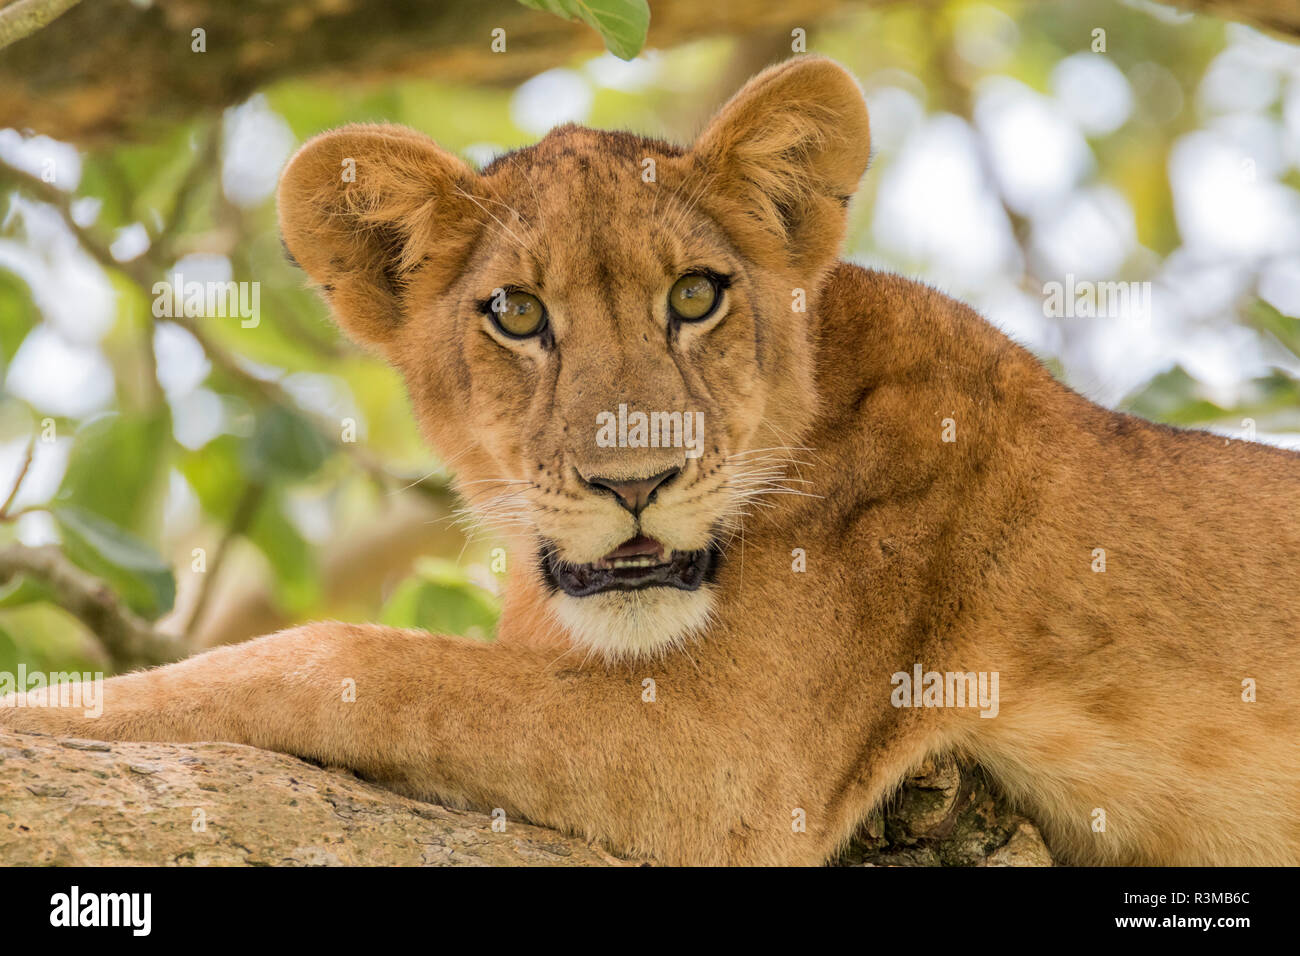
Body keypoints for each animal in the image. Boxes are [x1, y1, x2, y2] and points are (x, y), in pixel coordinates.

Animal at [2, 57, 1298, 866]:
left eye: (694, 295)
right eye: (516, 314)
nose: (635, 484)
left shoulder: (731, 756)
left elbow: (343, 657)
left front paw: (54, 709)